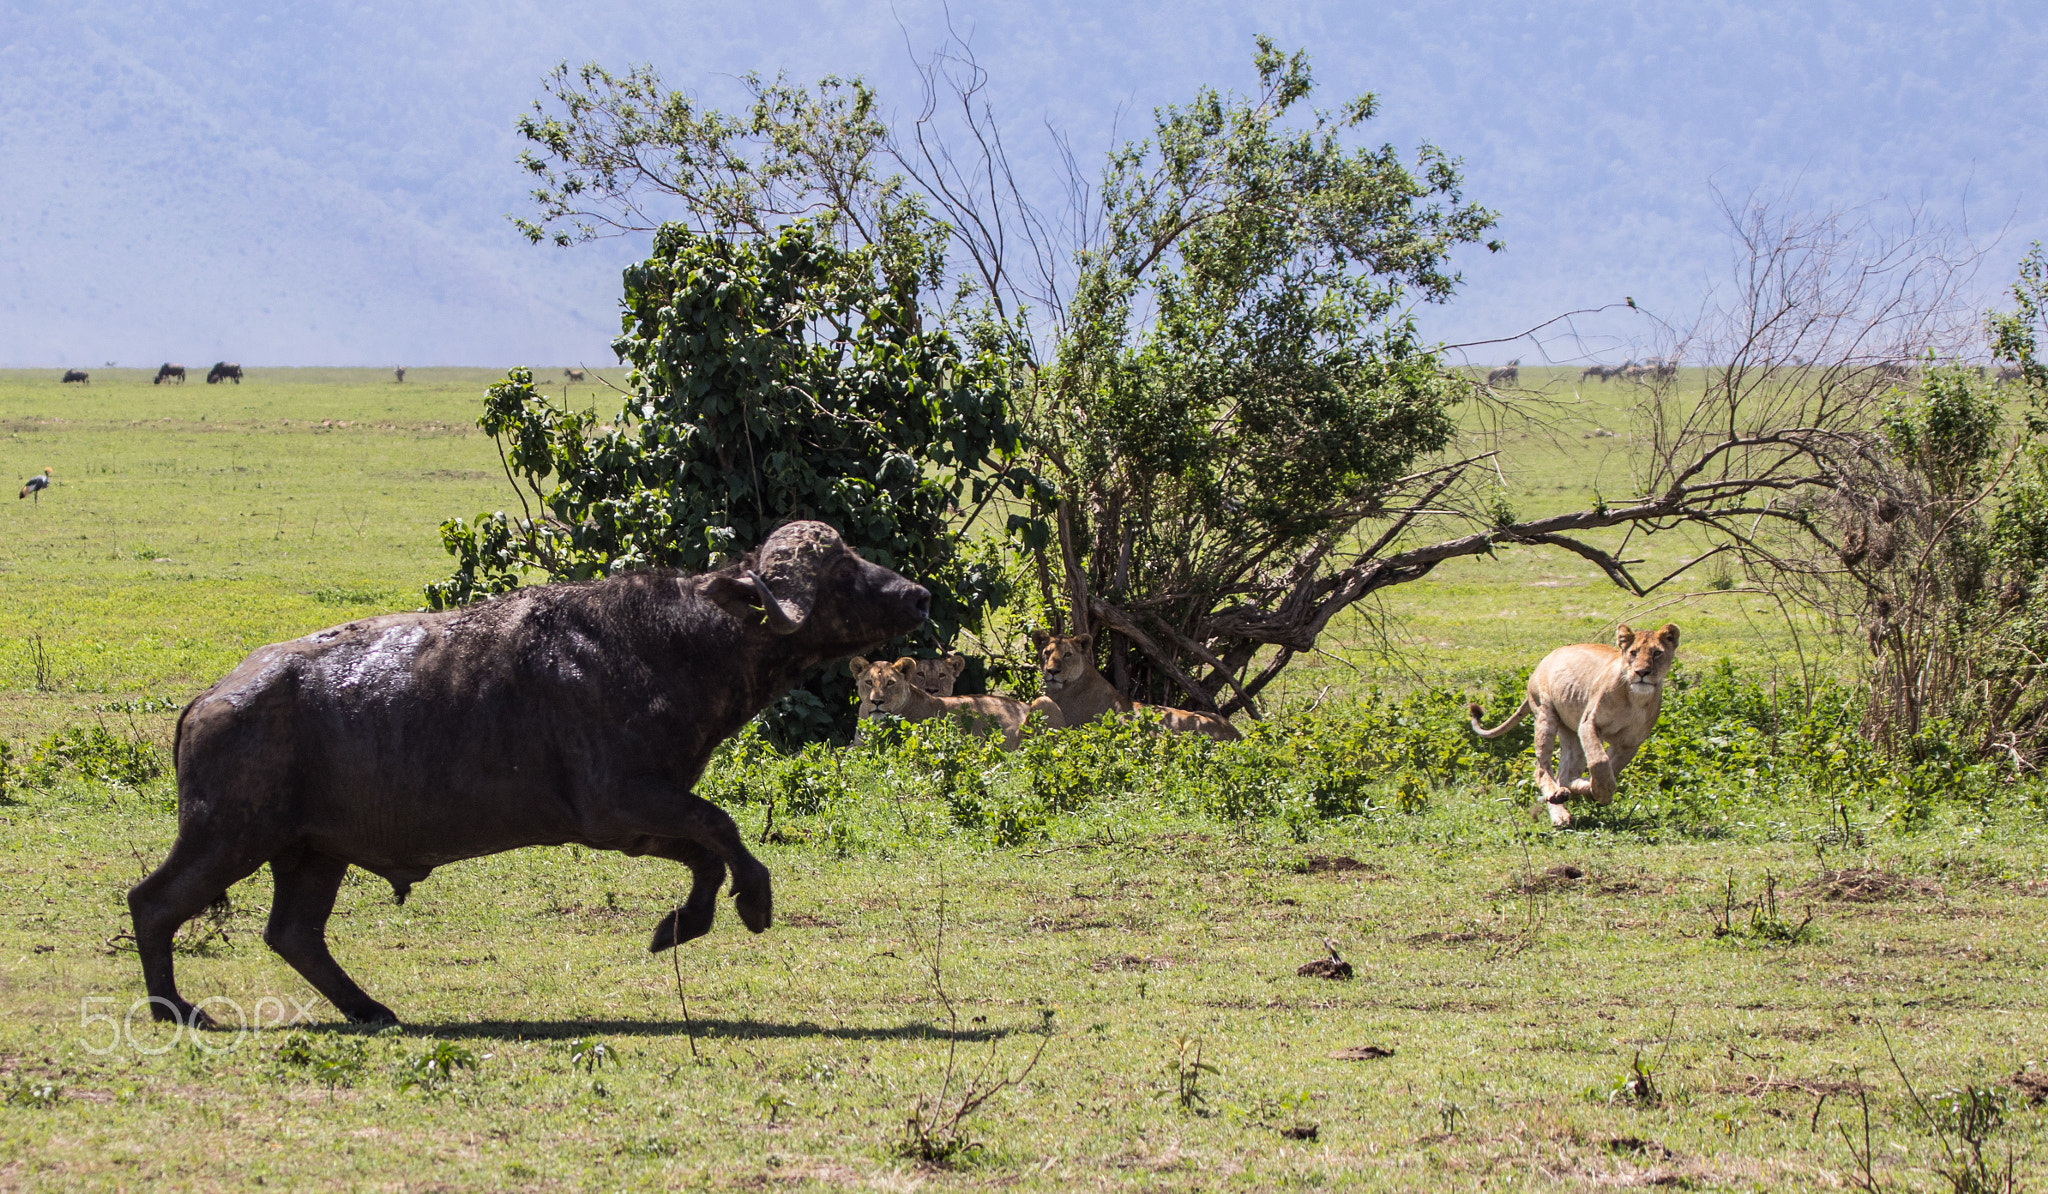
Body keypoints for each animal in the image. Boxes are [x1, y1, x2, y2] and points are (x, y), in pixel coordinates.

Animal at [130, 524, 929, 1028]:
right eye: (842, 571)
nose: (918, 595)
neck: (679, 644)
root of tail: (212, 697)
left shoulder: (631, 822)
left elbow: (706, 851)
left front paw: (681, 923)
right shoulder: (622, 803)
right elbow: (725, 828)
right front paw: (754, 903)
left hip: (313, 852)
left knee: (293, 933)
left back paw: (370, 1009)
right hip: (230, 835)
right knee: (154, 902)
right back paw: (179, 1011)